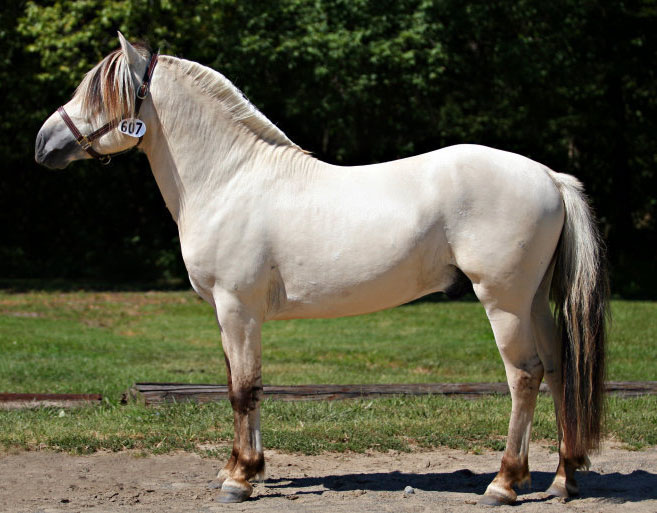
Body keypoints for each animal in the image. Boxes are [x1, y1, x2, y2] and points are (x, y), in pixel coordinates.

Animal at [35, 33, 608, 505]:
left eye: (100, 95)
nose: (43, 143)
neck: (229, 178)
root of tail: (548, 176)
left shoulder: (236, 308)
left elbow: (242, 389)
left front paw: (239, 479)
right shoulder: (232, 315)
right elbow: (245, 384)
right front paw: (244, 469)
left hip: (503, 301)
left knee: (525, 376)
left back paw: (505, 483)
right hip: (533, 301)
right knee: (559, 369)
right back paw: (563, 480)